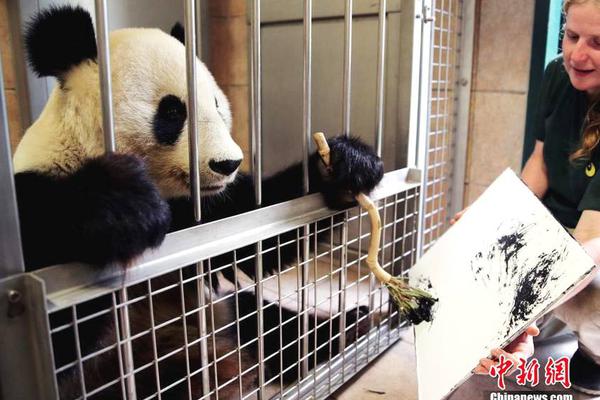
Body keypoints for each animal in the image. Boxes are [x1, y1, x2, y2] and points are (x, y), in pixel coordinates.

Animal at [15, 4, 384, 398]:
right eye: (173, 111)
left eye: (218, 105)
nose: (229, 163)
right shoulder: (41, 186)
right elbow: (62, 325)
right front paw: (124, 205)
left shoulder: (207, 208)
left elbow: (261, 234)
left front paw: (348, 164)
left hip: (220, 312)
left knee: (267, 322)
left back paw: (346, 328)